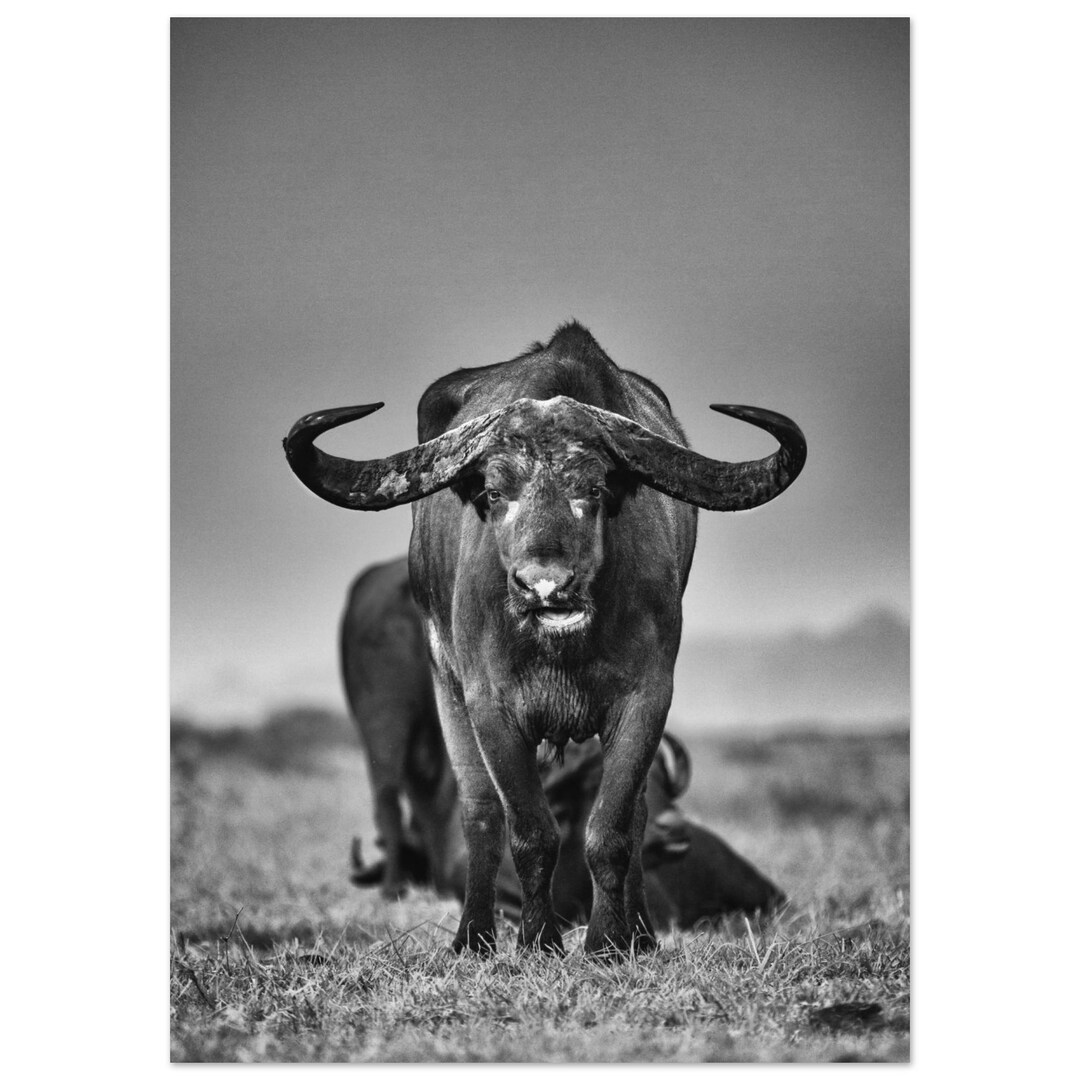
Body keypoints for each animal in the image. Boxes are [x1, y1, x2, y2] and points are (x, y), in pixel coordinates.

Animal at [285, 321, 805, 957]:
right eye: (493, 492)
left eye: (596, 488)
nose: (545, 586)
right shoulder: (491, 704)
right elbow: (529, 829)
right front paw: (538, 941)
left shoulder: (648, 697)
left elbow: (613, 827)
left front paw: (610, 941)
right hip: (435, 695)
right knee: (469, 810)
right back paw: (473, 936)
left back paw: (640, 932)